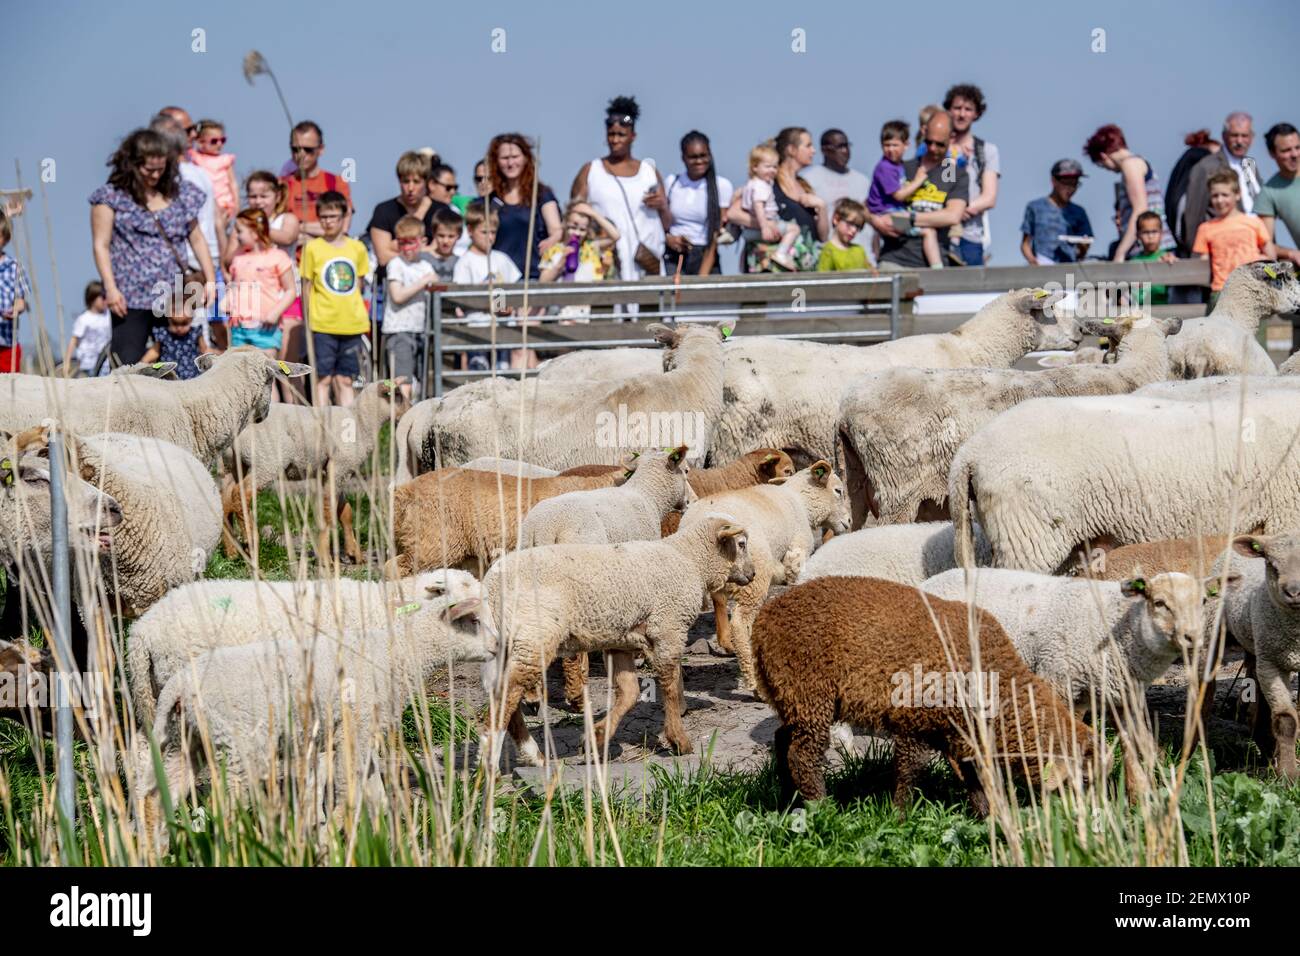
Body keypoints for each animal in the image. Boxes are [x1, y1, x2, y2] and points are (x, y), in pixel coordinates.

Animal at [141, 596, 495, 831]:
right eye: (474, 621)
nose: (497, 646)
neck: (394, 656)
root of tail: (178, 686)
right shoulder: (353, 728)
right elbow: (345, 787)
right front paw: (335, 830)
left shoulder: (362, 731)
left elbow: (371, 787)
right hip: (238, 743)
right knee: (227, 802)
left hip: (187, 740)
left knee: (157, 796)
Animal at [221, 379, 410, 565]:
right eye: (397, 395)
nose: (410, 411)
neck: (361, 422)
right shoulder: (340, 467)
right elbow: (328, 513)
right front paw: (326, 560)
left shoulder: (332, 472)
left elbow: (345, 512)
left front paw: (354, 554)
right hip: (267, 462)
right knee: (240, 494)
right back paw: (251, 541)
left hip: (233, 465)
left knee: (226, 501)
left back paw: (232, 552)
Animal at [480, 516, 755, 767]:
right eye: (741, 544)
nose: (752, 574)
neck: (692, 560)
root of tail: (490, 588)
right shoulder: (668, 628)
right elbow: (669, 686)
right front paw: (678, 739)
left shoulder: (619, 642)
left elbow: (630, 692)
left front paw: (596, 736)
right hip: (534, 634)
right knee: (509, 693)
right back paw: (489, 756)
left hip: (509, 644)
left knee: (503, 693)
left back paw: (533, 755)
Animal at [677, 461, 851, 690]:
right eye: (838, 491)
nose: (849, 521)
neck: (800, 503)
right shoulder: (796, 554)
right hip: (754, 574)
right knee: (740, 624)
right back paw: (752, 678)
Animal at [750, 577, 1095, 813]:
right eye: (1083, 779)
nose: (1088, 819)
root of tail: (763, 621)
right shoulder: (915, 721)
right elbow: (910, 771)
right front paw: (899, 816)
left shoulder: (957, 730)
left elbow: (973, 776)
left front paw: (988, 816)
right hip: (810, 692)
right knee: (803, 755)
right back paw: (821, 809)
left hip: (792, 696)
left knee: (783, 742)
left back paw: (789, 800)